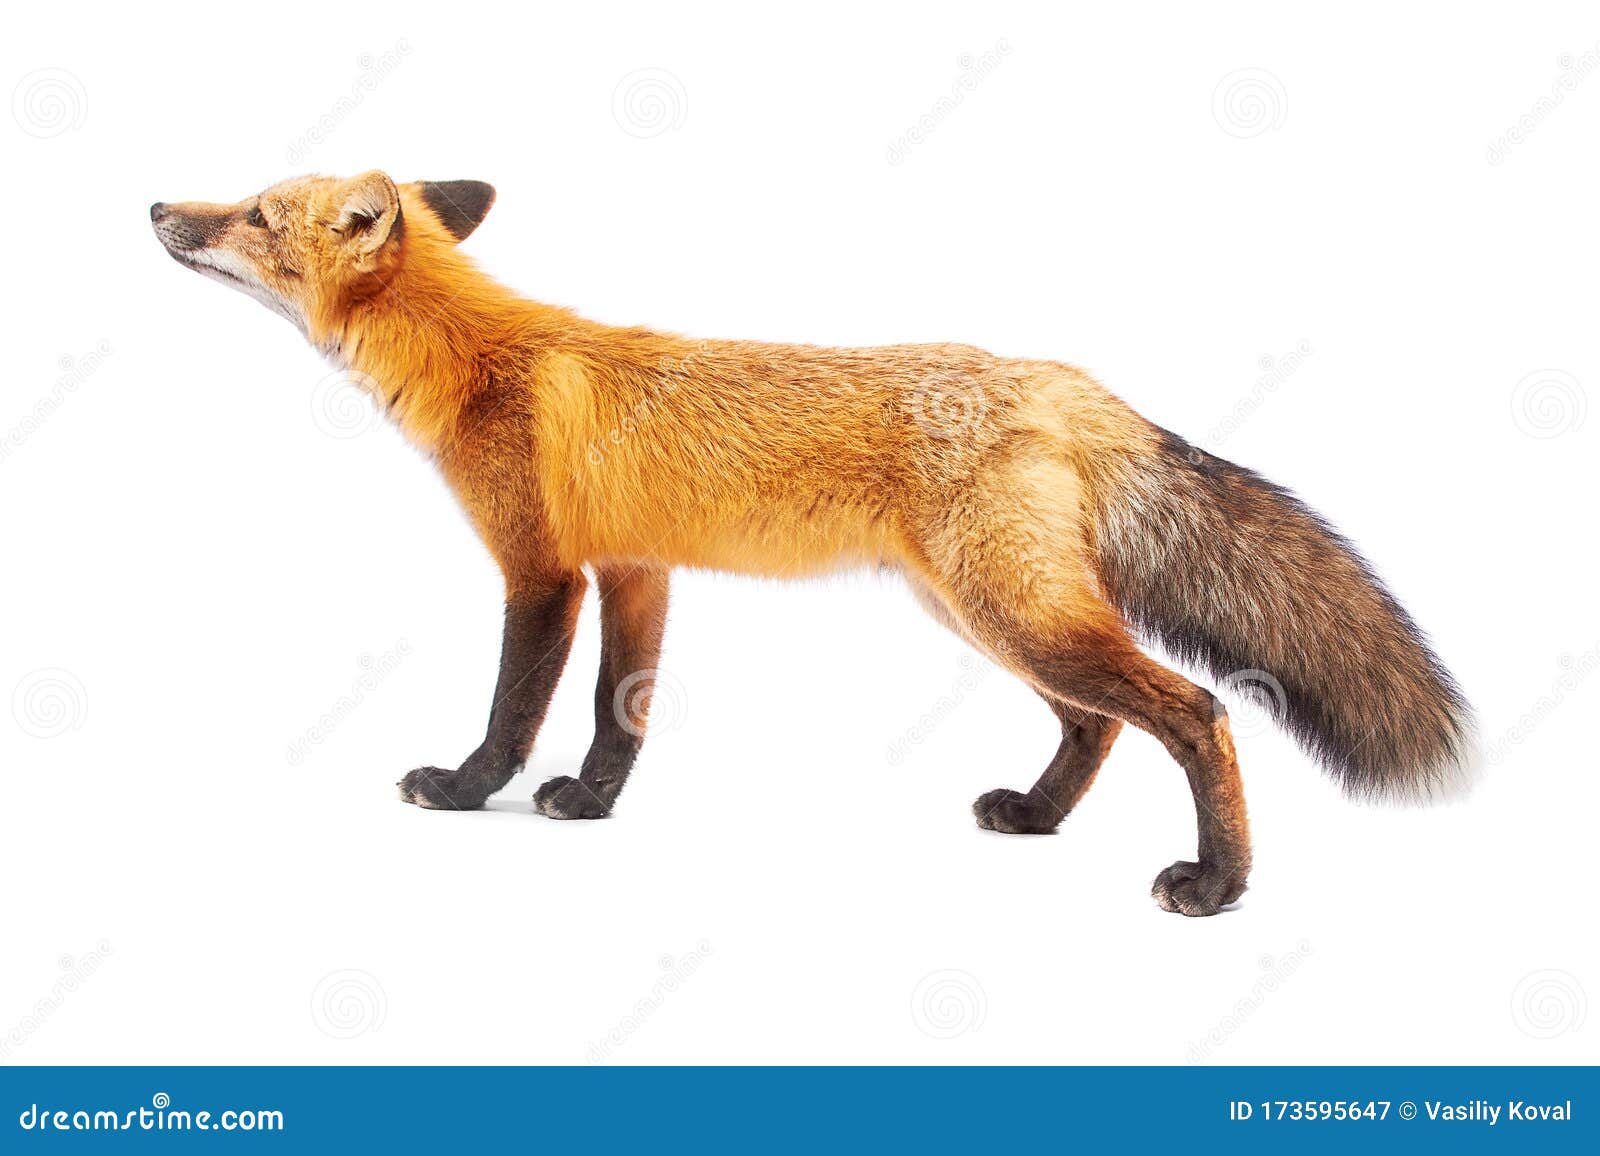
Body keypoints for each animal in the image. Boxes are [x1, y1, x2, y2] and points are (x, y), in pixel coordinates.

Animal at [150, 170, 1478, 916]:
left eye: (255, 211)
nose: (157, 205)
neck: (482, 362)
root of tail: (1062, 379)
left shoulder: (542, 571)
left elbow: (514, 709)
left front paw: (473, 792)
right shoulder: (637, 567)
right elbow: (620, 712)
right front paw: (590, 804)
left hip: (1012, 611)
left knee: (1195, 711)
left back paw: (1220, 885)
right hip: (987, 613)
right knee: (1096, 721)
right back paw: (1037, 818)